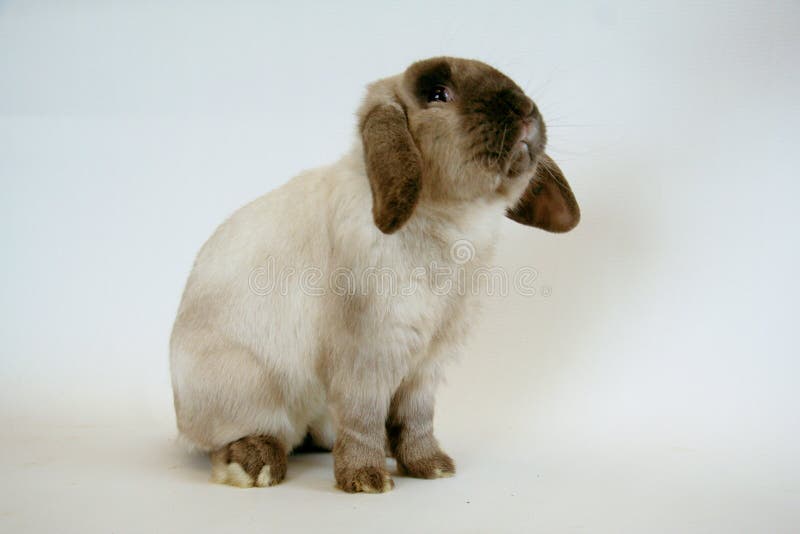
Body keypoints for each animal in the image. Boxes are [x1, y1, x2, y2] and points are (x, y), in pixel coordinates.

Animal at [170, 56, 580, 493]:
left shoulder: (426, 364)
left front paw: (432, 466)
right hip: (248, 391)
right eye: (438, 95)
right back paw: (255, 465)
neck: (448, 216)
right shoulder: (368, 355)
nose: (525, 111)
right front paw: (366, 480)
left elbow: (416, 420)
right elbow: (363, 418)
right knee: (239, 438)